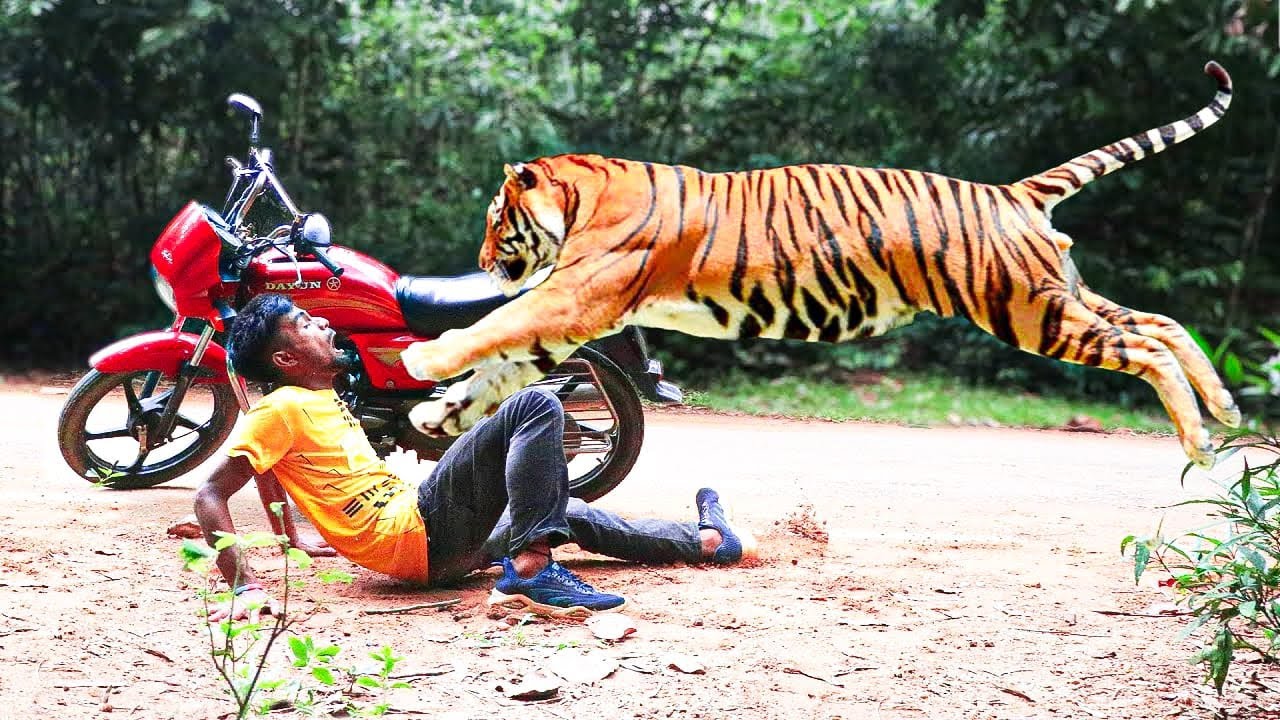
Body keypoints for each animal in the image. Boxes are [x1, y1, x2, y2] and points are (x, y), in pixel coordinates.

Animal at [402, 61, 1239, 468]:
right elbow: (499, 370)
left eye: (496, 221)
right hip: (1059, 295)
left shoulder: (574, 300)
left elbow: (494, 329)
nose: (481, 259)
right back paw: (1226, 411)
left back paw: (1201, 442)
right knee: (1162, 324)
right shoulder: (577, 319)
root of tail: (1014, 190)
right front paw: (436, 414)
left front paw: (422, 356)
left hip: (1028, 310)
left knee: (1143, 347)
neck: (582, 197)